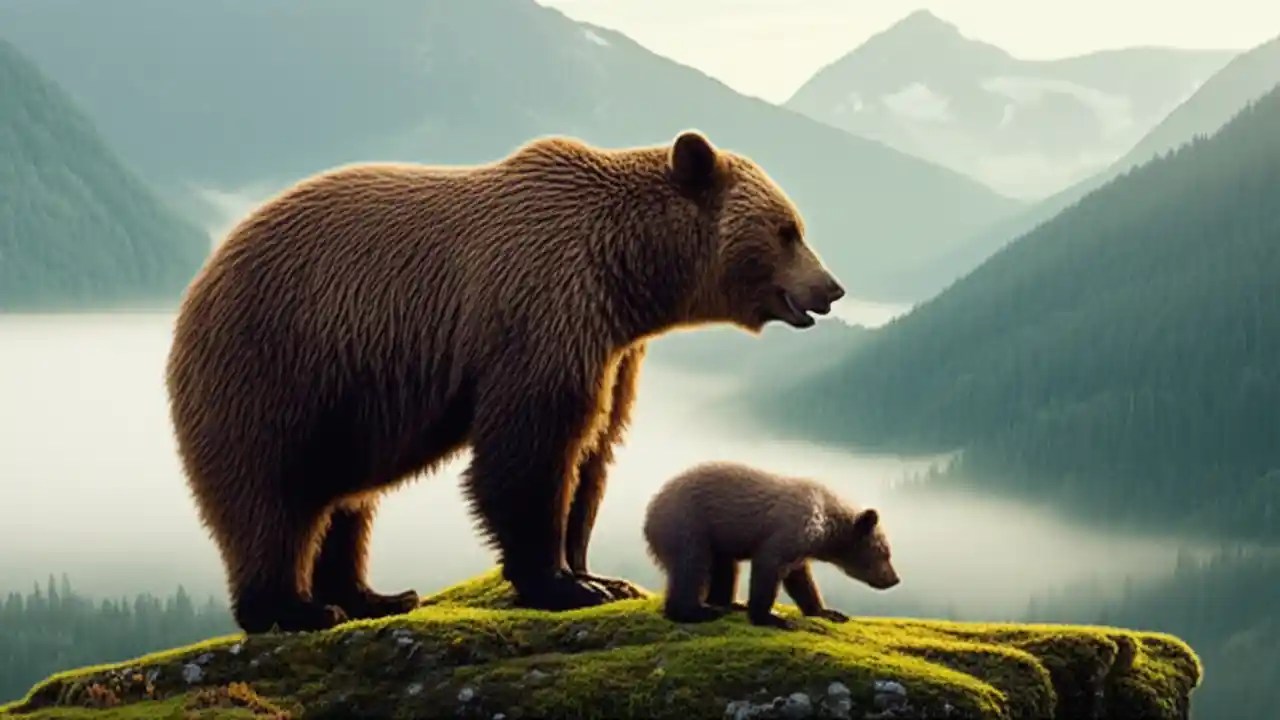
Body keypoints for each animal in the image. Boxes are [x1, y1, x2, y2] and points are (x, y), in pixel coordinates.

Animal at [165, 130, 846, 634]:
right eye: (787, 229)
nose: (832, 288)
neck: (626, 274)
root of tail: (197, 283)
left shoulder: (614, 350)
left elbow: (593, 453)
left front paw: (598, 573)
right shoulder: (542, 308)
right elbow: (531, 450)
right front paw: (564, 585)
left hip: (345, 402)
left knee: (346, 503)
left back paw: (374, 596)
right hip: (277, 367)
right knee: (272, 495)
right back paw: (293, 609)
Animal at [643, 461, 899, 628]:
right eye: (885, 553)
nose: (895, 579)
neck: (826, 525)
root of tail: (649, 513)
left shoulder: (801, 547)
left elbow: (800, 579)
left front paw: (827, 612)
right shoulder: (790, 529)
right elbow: (769, 566)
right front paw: (771, 617)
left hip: (715, 539)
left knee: (725, 569)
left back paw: (727, 603)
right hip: (688, 524)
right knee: (692, 566)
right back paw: (697, 611)